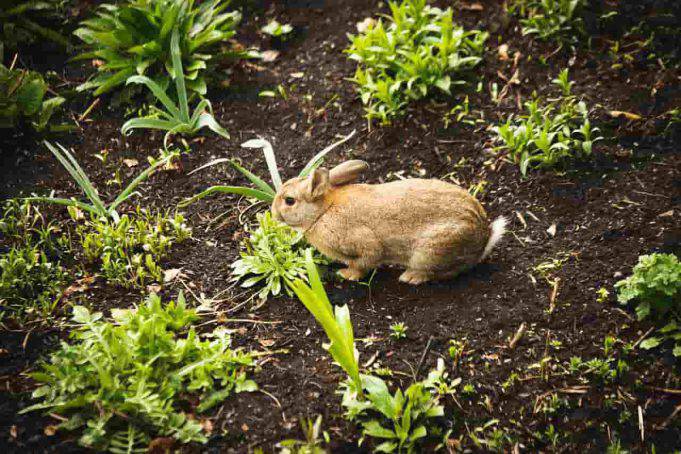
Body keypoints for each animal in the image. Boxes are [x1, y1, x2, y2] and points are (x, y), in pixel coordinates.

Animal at [271, 160, 507, 285]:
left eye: (289, 200)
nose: (273, 214)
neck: (323, 211)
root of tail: (484, 238)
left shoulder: (364, 243)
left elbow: (364, 261)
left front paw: (346, 275)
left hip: (431, 250)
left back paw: (409, 277)